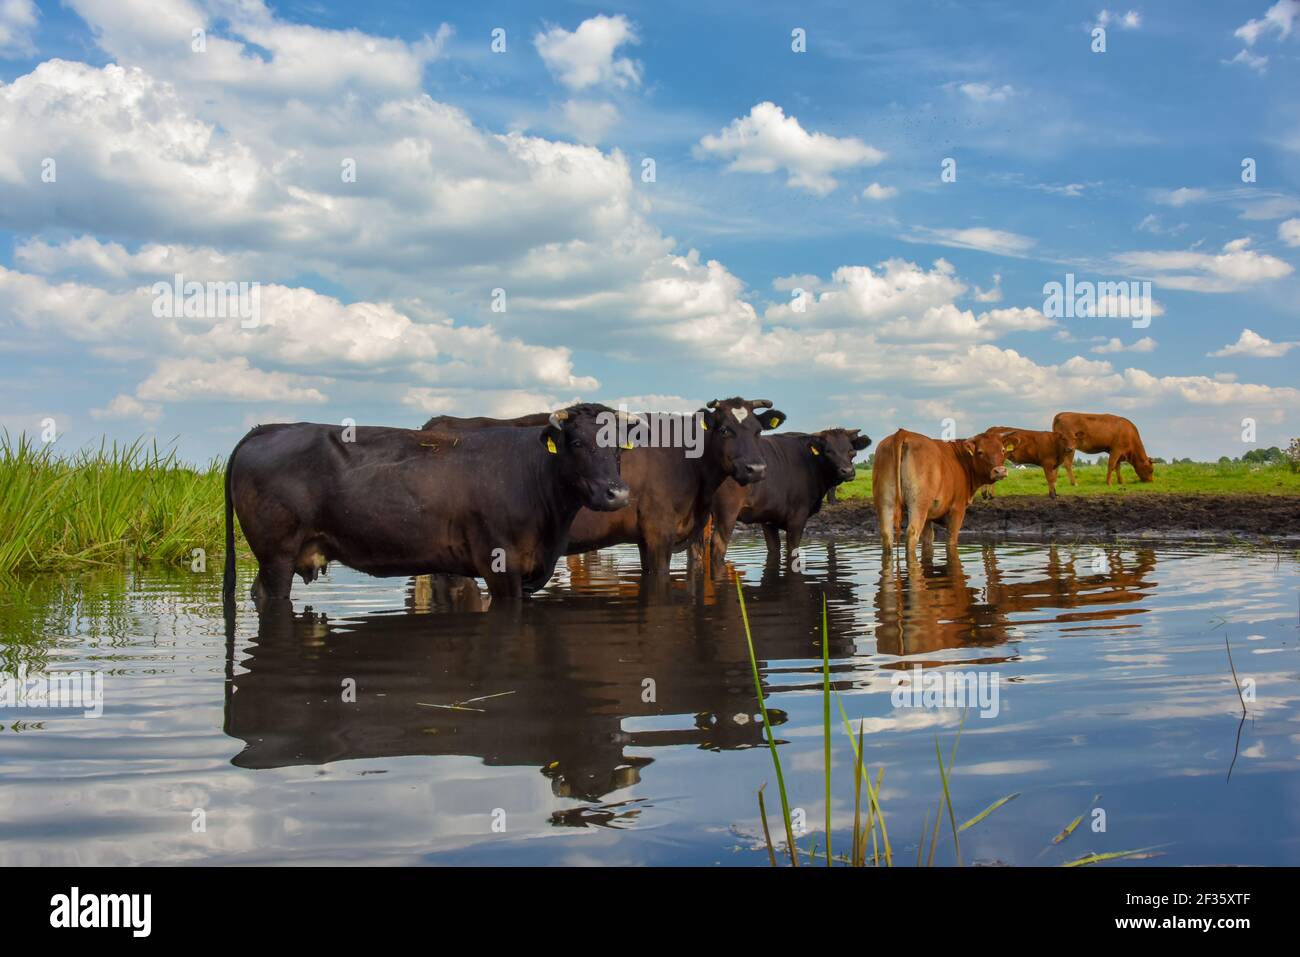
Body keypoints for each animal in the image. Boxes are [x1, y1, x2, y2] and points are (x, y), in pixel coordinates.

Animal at [222, 403, 635, 608]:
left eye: (617, 448)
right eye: (577, 443)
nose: (617, 493)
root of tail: (270, 428)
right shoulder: (500, 566)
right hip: (277, 553)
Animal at [708, 428, 871, 569]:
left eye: (851, 450)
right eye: (829, 451)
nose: (847, 471)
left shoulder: (768, 519)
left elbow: (774, 549)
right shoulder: (797, 518)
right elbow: (793, 550)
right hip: (727, 512)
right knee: (717, 545)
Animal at [872, 428, 1012, 561]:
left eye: (1002, 450)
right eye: (980, 452)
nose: (1000, 471)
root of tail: (904, 433)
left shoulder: (928, 518)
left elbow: (928, 539)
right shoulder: (957, 509)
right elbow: (951, 540)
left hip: (885, 501)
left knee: (887, 534)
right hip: (918, 504)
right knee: (912, 533)